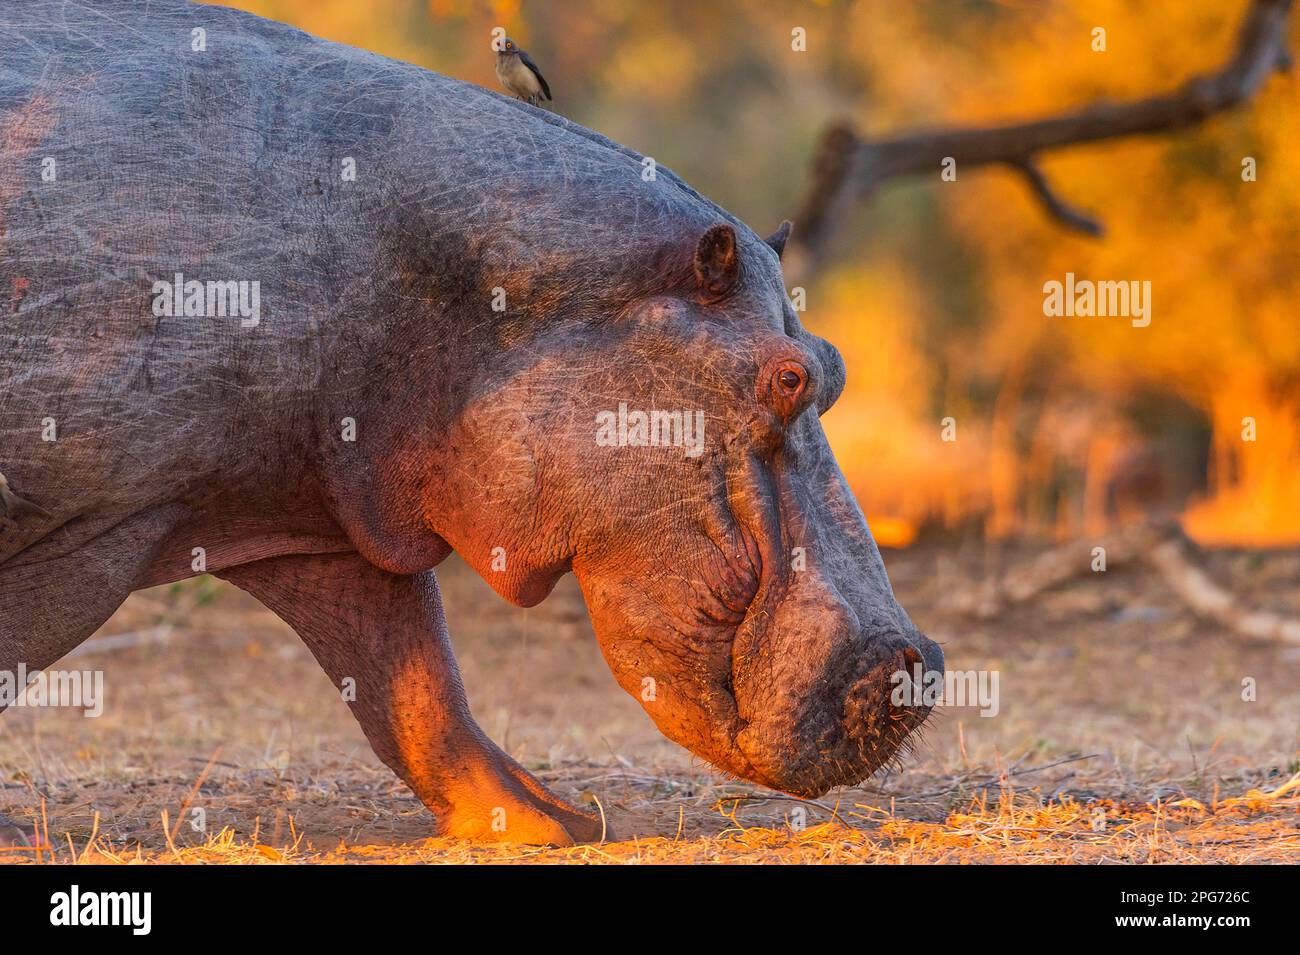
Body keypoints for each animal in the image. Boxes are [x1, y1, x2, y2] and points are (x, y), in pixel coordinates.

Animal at [0, 0, 943, 846]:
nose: (923, 666)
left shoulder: (325, 509)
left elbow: (416, 684)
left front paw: (557, 823)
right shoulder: (96, 524)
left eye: (833, 363)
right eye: (788, 377)